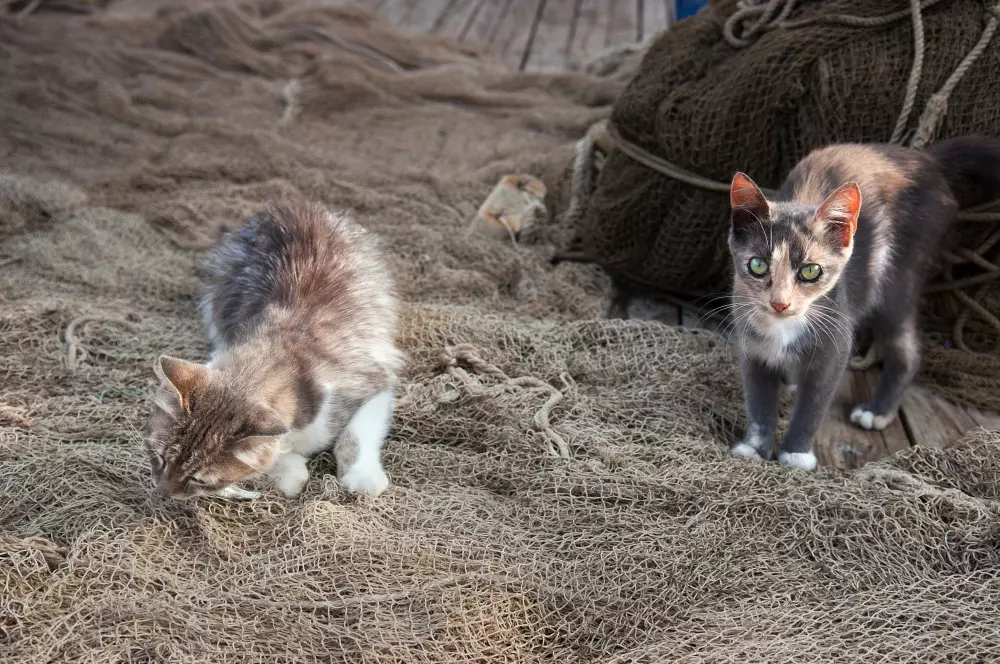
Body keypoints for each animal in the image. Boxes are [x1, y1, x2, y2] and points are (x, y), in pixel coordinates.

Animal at [145, 201, 402, 498]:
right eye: (160, 458)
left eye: (198, 479)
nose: (162, 492)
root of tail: (285, 207)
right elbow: (278, 460)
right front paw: (289, 467)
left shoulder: (372, 379)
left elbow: (356, 432)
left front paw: (362, 476)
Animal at [728, 135, 1000, 470]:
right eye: (757, 265)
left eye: (810, 271)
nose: (780, 303)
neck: (784, 326)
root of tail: (926, 161)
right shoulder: (750, 343)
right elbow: (758, 398)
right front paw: (754, 447)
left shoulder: (836, 337)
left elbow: (815, 401)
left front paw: (795, 452)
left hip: (899, 277)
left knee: (907, 345)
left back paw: (878, 410)